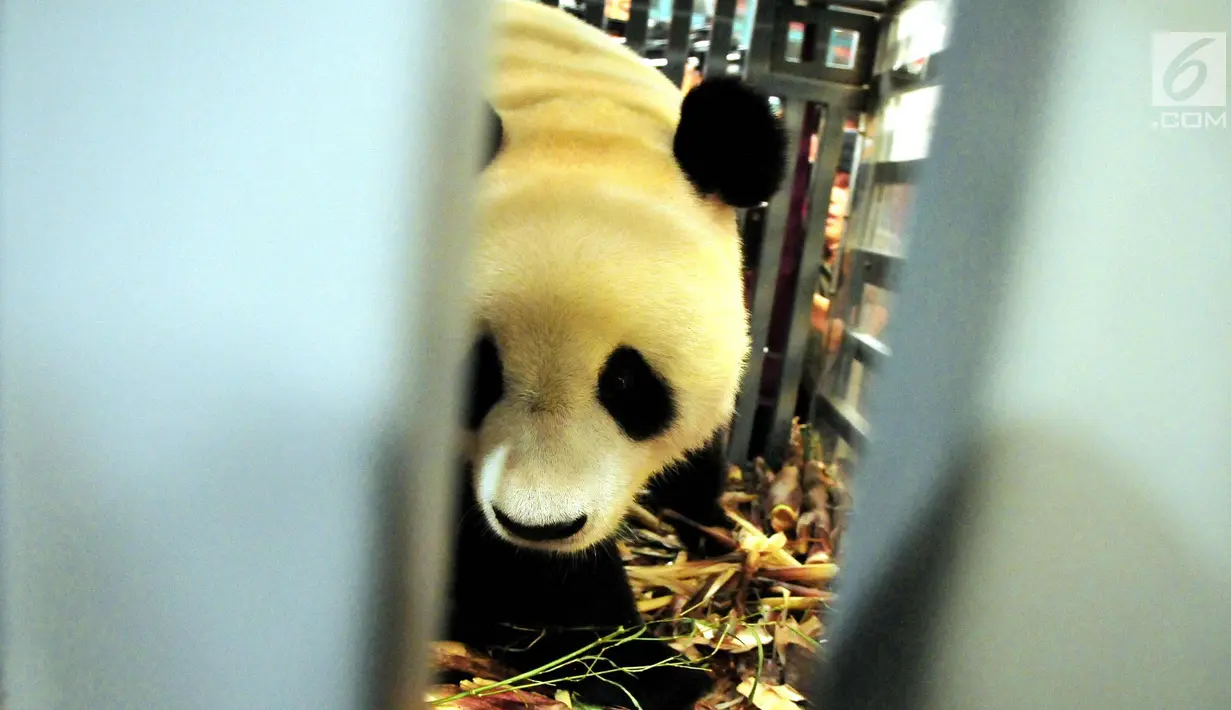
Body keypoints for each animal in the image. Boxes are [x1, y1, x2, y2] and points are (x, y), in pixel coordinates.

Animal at [445, 1, 787, 708]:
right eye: (479, 373)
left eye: (628, 383)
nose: (540, 525)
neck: (570, 102)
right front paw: (645, 666)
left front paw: (711, 517)